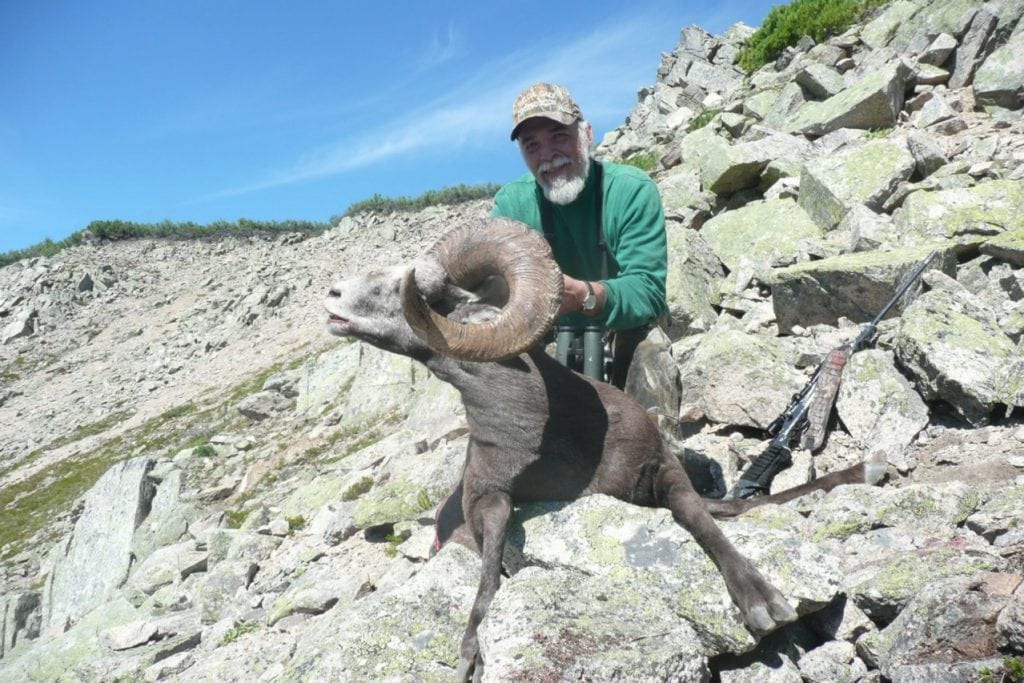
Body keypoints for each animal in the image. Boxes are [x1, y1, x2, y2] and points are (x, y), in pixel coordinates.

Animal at [323, 217, 878, 680]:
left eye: (399, 286)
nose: (331, 298)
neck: (549, 434)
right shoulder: (486, 498)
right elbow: (491, 567)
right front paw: (470, 654)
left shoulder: (659, 472)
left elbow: (704, 517)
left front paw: (763, 604)